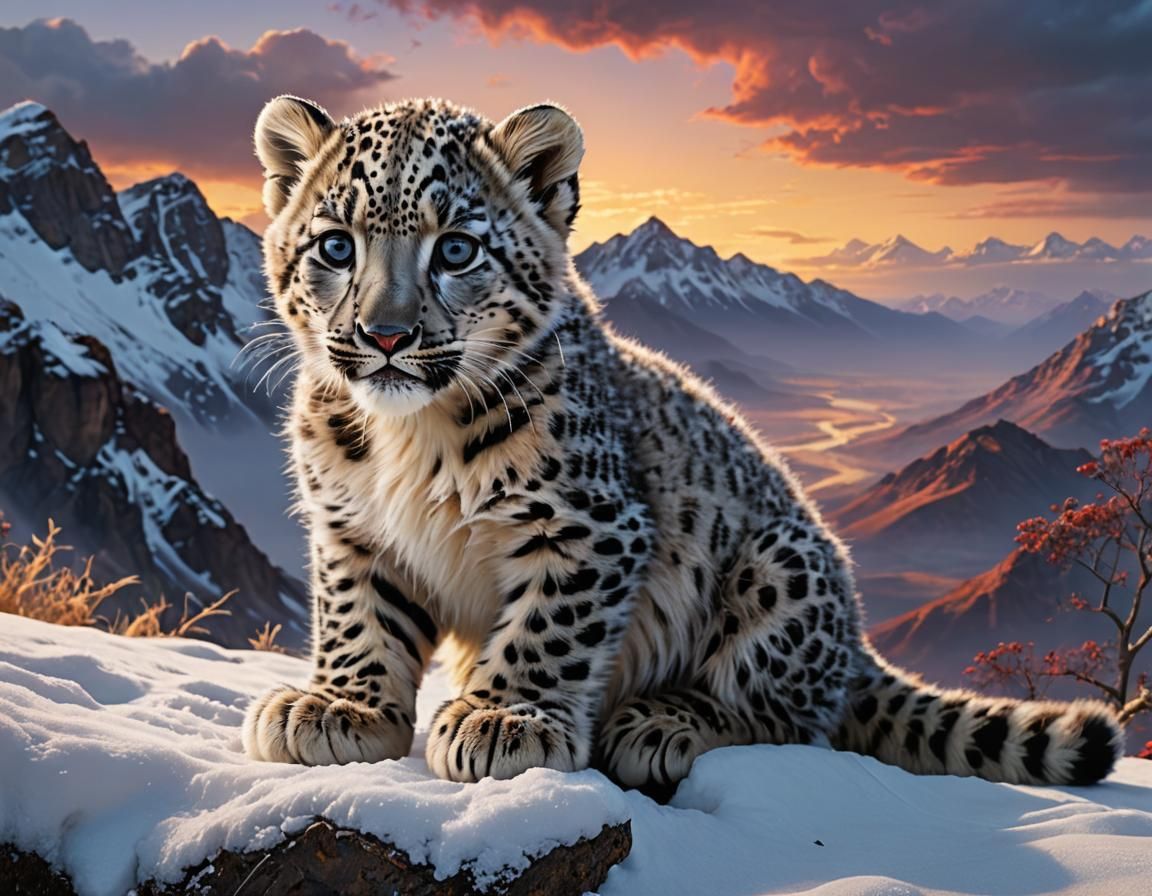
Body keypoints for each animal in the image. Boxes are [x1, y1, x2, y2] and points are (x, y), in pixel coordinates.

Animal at [241, 94, 1122, 794]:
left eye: (456, 247)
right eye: (335, 245)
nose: (384, 335)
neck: (405, 438)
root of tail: (857, 642)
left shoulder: (589, 524)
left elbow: (548, 628)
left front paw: (506, 720)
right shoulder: (352, 527)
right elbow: (358, 616)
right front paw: (340, 707)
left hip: (780, 565)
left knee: (785, 714)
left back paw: (660, 723)